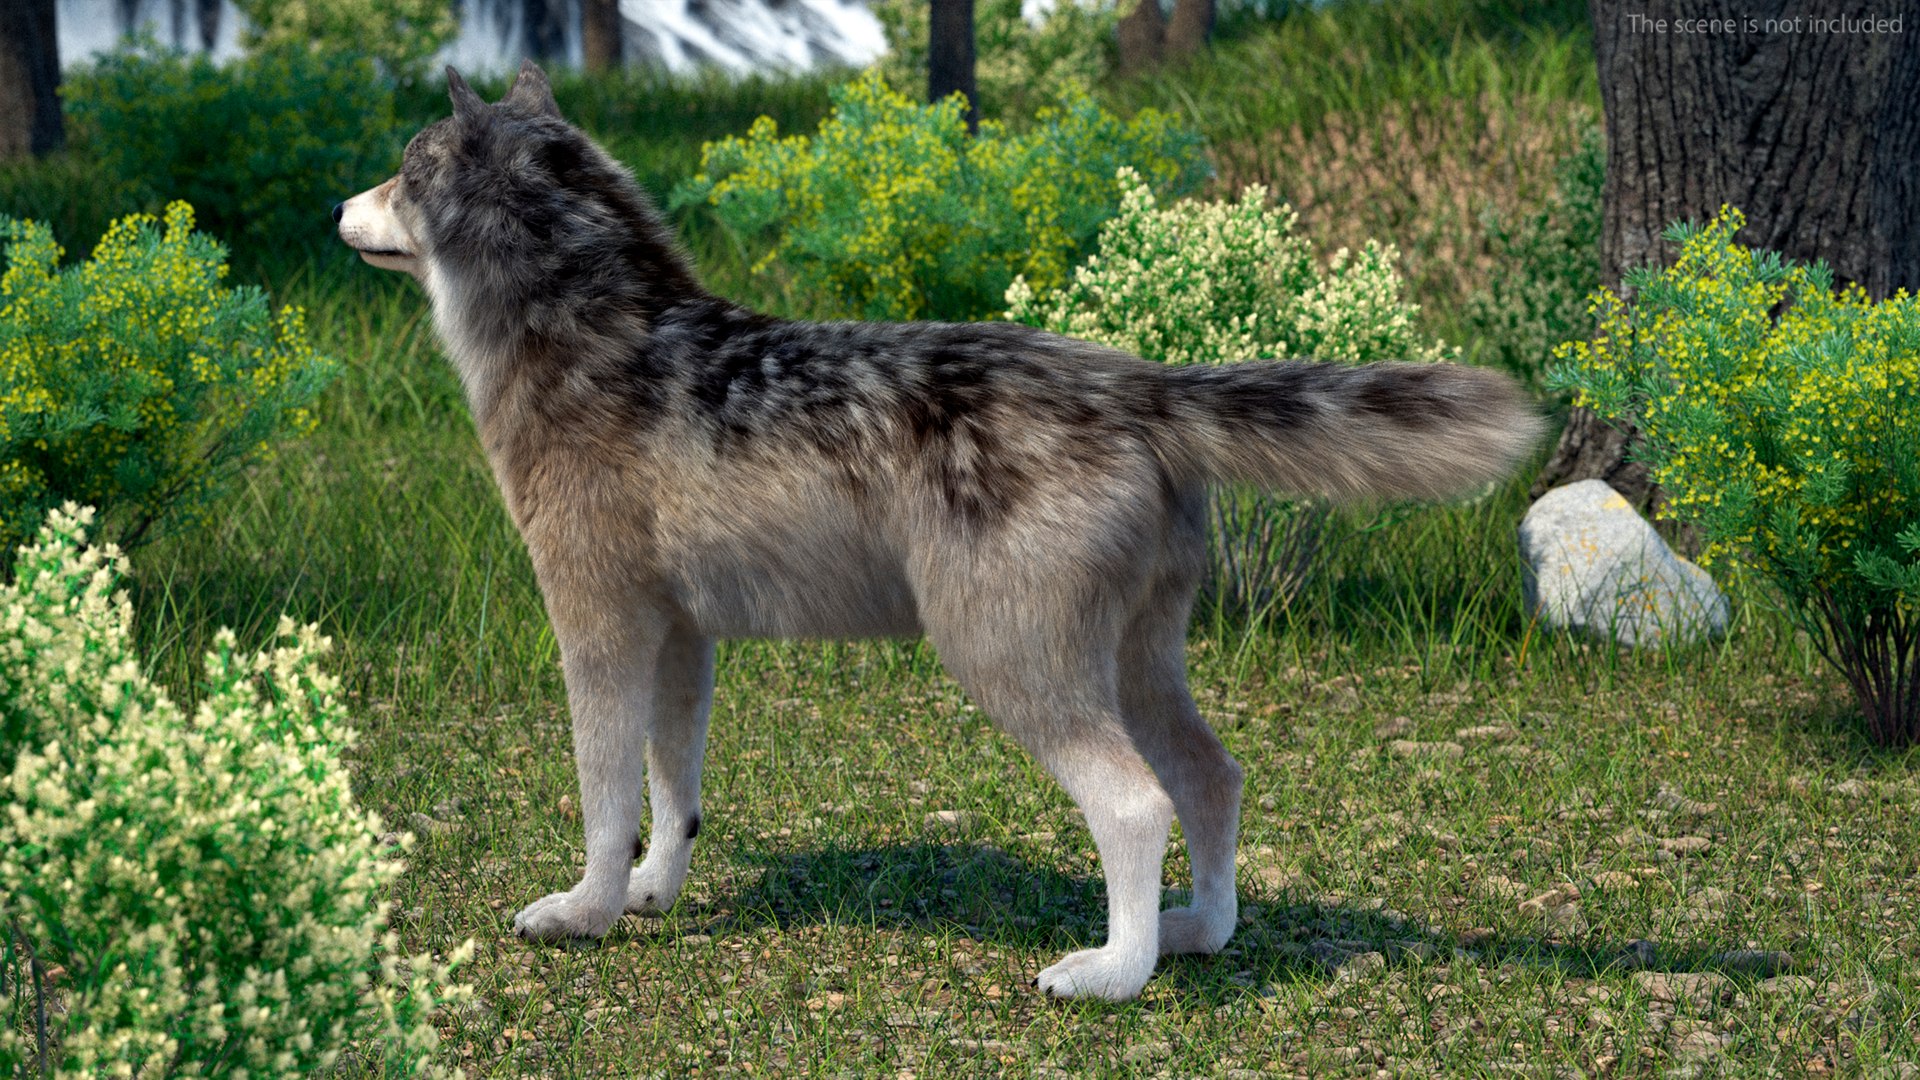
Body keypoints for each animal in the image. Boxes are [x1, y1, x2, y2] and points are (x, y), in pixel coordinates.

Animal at [335, 61, 1540, 1001]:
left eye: (405, 164)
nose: (340, 212)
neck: (600, 335)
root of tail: (1136, 383)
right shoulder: (683, 641)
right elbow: (674, 800)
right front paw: (649, 899)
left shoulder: (599, 632)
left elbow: (603, 801)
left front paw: (582, 913)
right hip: (1135, 661)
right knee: (1212, 779)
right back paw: (1196, 935)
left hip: (1010, 662)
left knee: (1137, 804)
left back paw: (1114, 975)